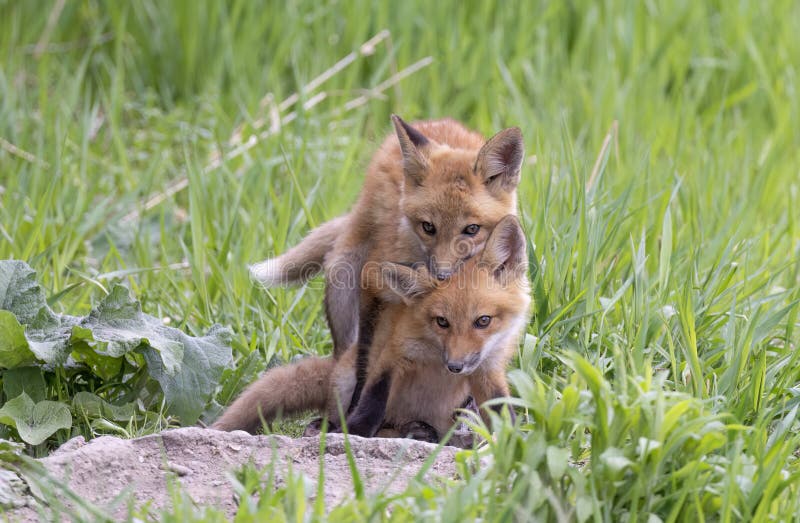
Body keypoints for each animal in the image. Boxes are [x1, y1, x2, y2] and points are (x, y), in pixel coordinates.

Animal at [213, 215, 531, 442]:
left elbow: (502, 409)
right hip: (349, 378)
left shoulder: (486, 370)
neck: (433, 355)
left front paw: (516, 440)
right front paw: (352, 433)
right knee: (364, 417)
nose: (455, 366)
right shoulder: (395, 354)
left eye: (483, 321)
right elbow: (373, 402)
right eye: (442, 321)